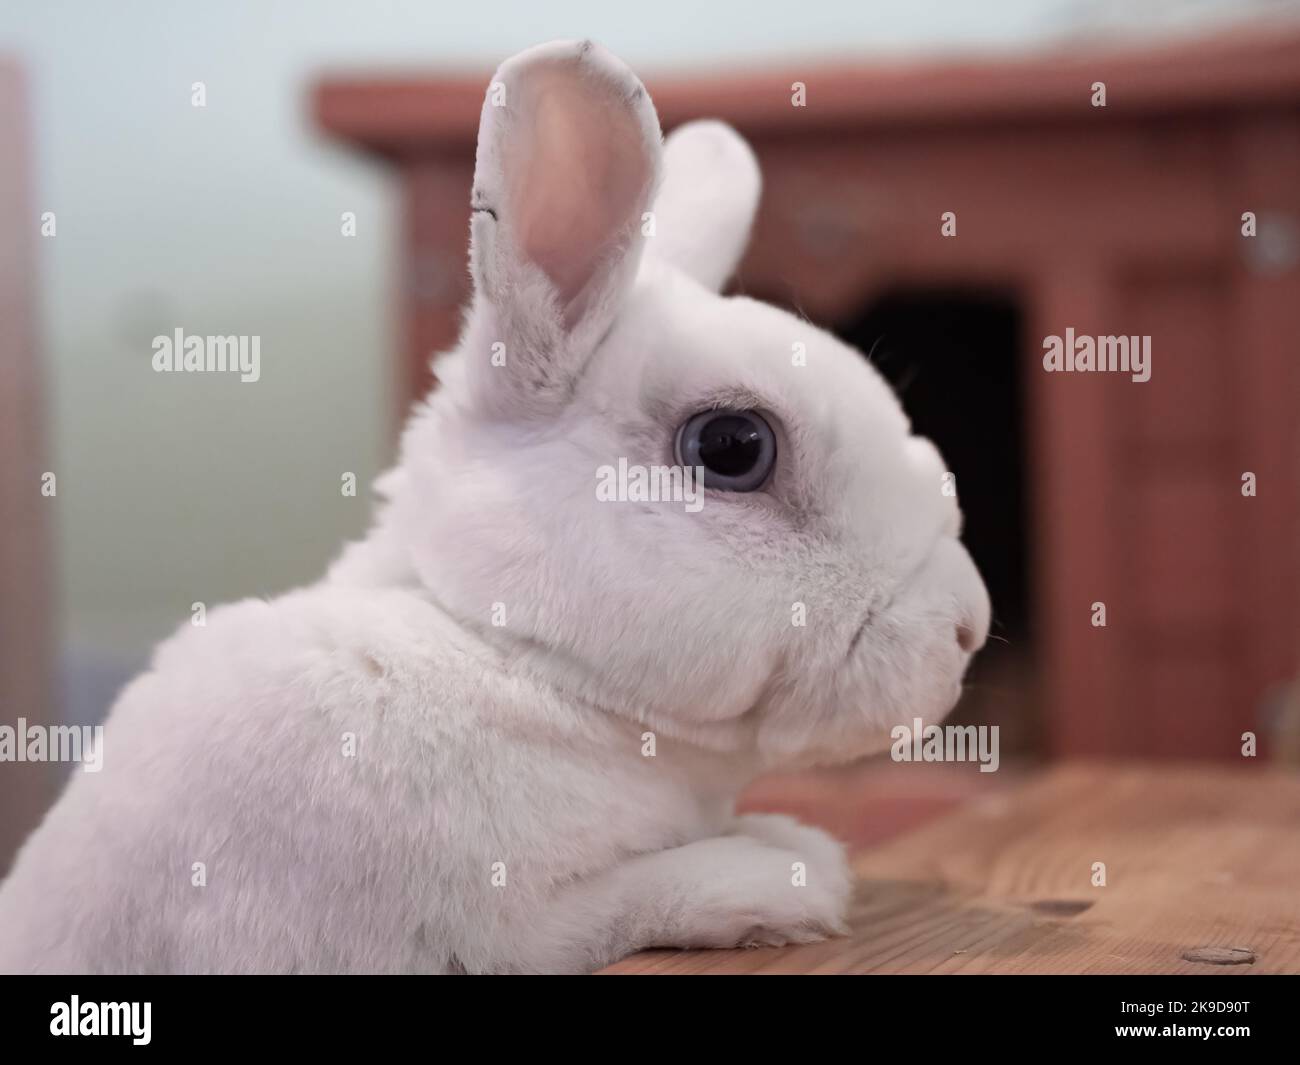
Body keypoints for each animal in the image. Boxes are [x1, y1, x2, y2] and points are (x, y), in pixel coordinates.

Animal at [0, 39, 990, 975]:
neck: (500, 647)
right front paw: (786, 874)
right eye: (733, 446)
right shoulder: (484, 930)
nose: (968, 626)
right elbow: (605, 909)